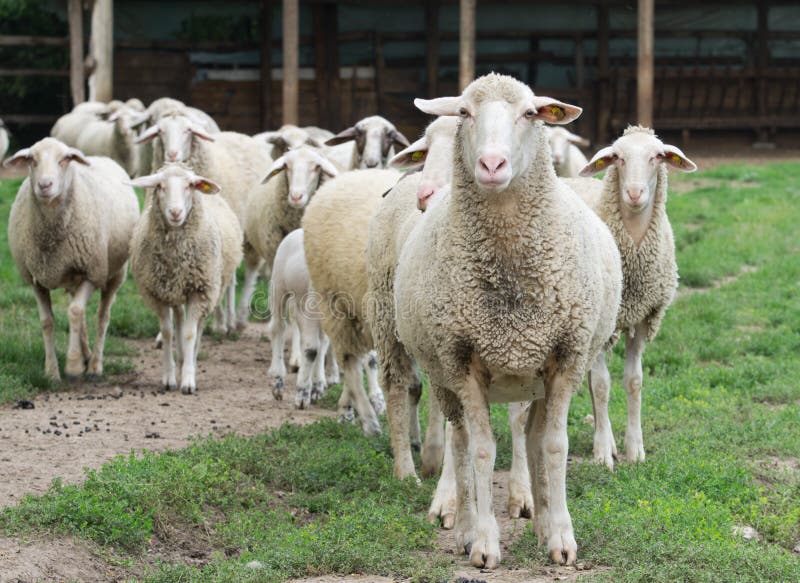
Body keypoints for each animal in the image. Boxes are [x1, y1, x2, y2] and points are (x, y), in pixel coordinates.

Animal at [5, 138, 139, 382]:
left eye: (64, 159)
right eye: (32, 160)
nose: (45, 185)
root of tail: (102, 157)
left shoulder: (93, 272)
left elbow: (75, 312)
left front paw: (74, 365)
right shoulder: (36, 279)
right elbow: (48, 322)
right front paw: (51, 371)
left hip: (116, 273)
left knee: (101, 316)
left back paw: (94, 365)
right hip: (72, 278)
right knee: (82, 312)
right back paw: (85, 353)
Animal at [129, 164, 243, 394]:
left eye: (190, 186)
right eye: (160, 186)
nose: (175, 212)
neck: (176, 256)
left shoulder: (199, 291)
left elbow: (190, 334)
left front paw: (188, 380)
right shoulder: (157, 293)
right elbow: (168, 332)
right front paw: (169, 377)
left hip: (209, 291)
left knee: (197, 328)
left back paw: (189, 360)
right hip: (175, 290)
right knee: (179, 318)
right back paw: (181, 360)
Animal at [393, 74, 622, 568]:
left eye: (530, 114)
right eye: (464, 113)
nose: (492, 164)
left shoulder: (566, 357)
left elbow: (554, 445)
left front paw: (561, 538)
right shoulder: (462, 360)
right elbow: (481, 451)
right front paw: (484, 544)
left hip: (534, 378)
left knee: (532, 438)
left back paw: (540, 522)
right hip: (444, 376)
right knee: (459, 444)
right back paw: (463, 527)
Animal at [575, 125, 696, 467]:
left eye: (657, 156)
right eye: (618, 157)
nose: (634, 193)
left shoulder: (644, 317)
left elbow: (634, 381)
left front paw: (634, 448)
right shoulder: (604, 318)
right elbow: (602, 384)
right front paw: (603, 452)